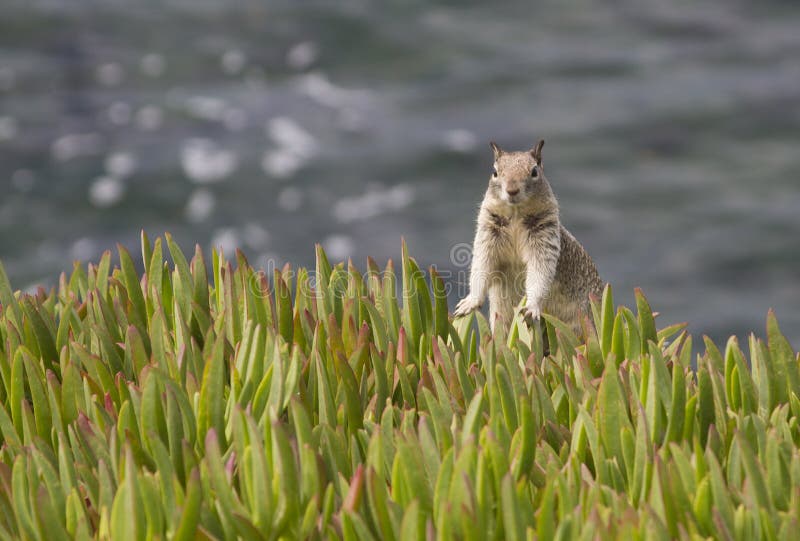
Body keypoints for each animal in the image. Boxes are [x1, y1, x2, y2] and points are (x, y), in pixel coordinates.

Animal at [453, 139, 603, 336]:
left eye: (534, 172)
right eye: (495, 172)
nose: (512, 190)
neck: (516, 216)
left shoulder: (544, 239)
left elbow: (540, 272)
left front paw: (532, 306)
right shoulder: (487, 236)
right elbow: (481, 265)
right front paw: (470, 302)